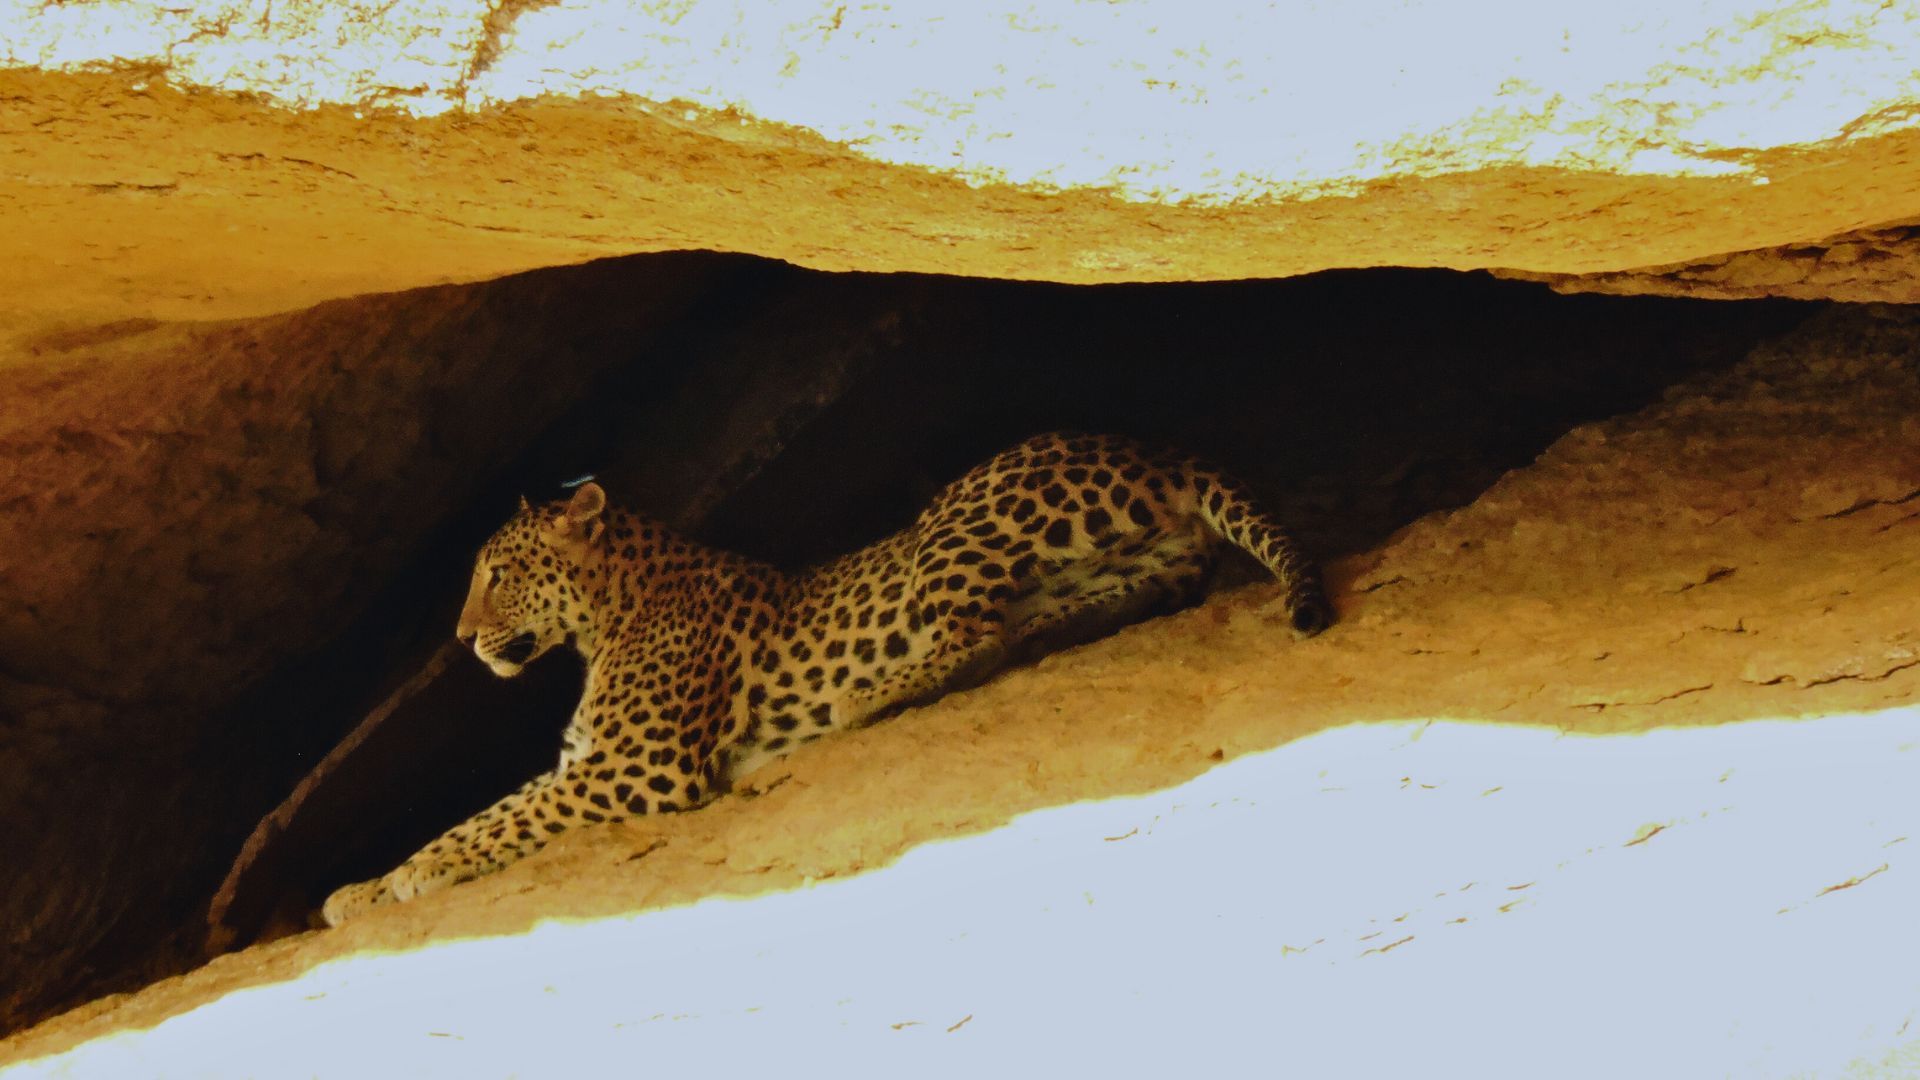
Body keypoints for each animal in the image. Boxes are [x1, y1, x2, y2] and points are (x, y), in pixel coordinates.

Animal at [321, 432, 1330, 925]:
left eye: (498, 573)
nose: (462, 640)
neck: (608, 613)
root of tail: (1162, 453)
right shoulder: (588, 763)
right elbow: (490, 814)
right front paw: (361, 891)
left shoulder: (638, 768)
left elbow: (489, 823)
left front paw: (408, 878)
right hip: (1118, 570)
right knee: (1041, 624)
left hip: (949, 526)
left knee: (973, 633)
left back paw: (859, 698)